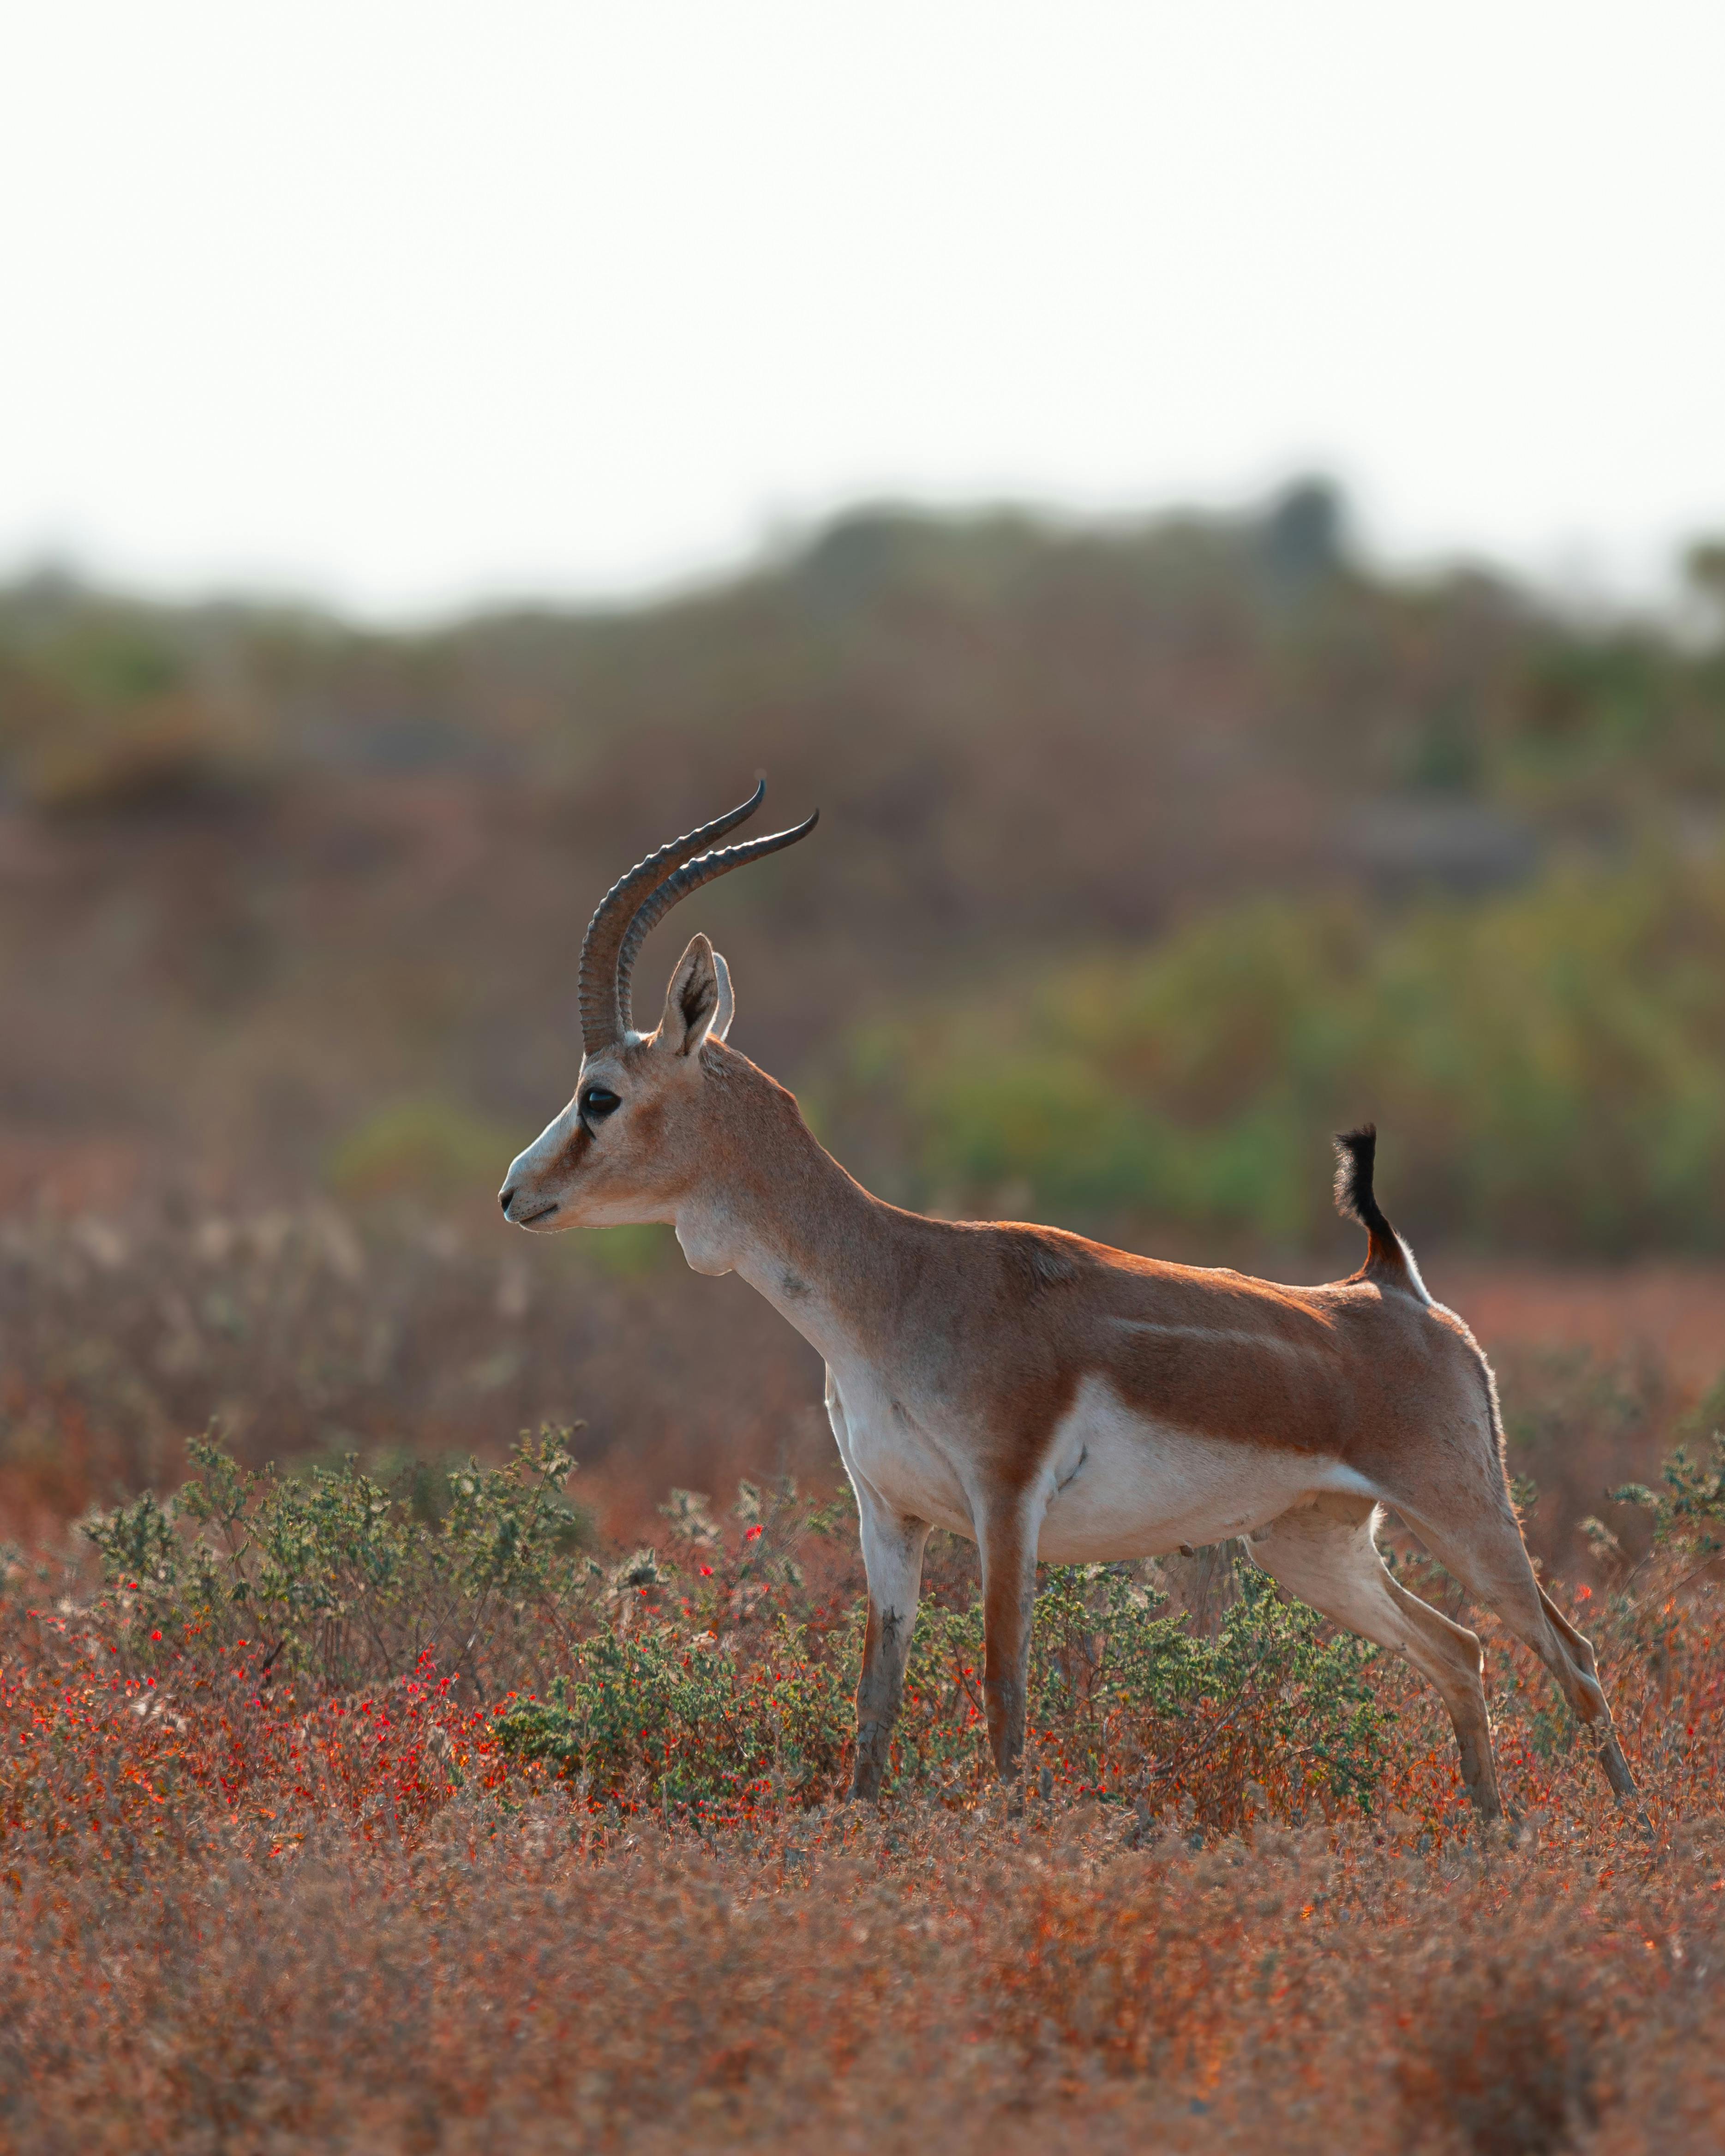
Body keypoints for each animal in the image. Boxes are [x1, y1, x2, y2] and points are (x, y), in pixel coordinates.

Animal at [501, 782, 1642, 1822]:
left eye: (600, 1095)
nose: (516, 1193)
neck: (894, 1283)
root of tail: (1391, 1285)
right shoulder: (888, 1515)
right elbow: (874, 1706)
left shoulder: (1005, 1503)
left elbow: (1002, 1691)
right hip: (1310, 1543)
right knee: (1459, 1649)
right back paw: (1488, 1836)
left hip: (1465, 1514)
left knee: (1571, 1652)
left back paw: (1628, 1837)